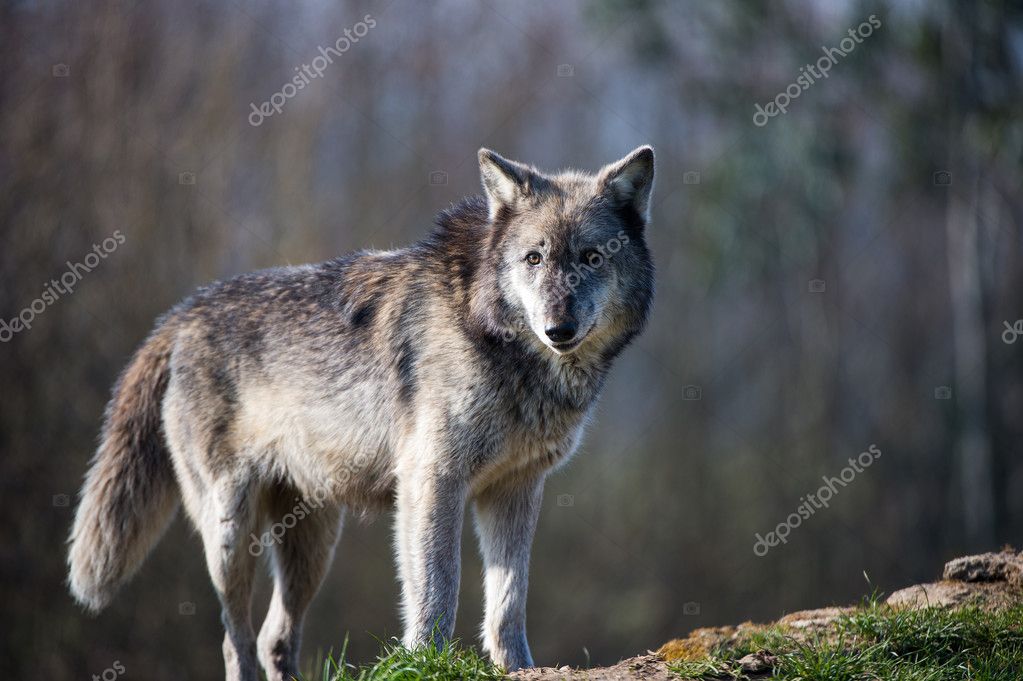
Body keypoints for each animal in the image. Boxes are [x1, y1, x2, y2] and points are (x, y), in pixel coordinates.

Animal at [68, 146, 655, 680]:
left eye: (592, 258)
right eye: (534, 258)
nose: (559, 328)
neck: (493, 334)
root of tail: (181, 314)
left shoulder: (516, 488)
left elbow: (509, 595)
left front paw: (517, 667)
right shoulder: (431, 479)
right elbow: (438, 586)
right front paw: (426, 662)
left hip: (314, 543)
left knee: (273, 636)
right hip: (233, 533)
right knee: (236, 641)